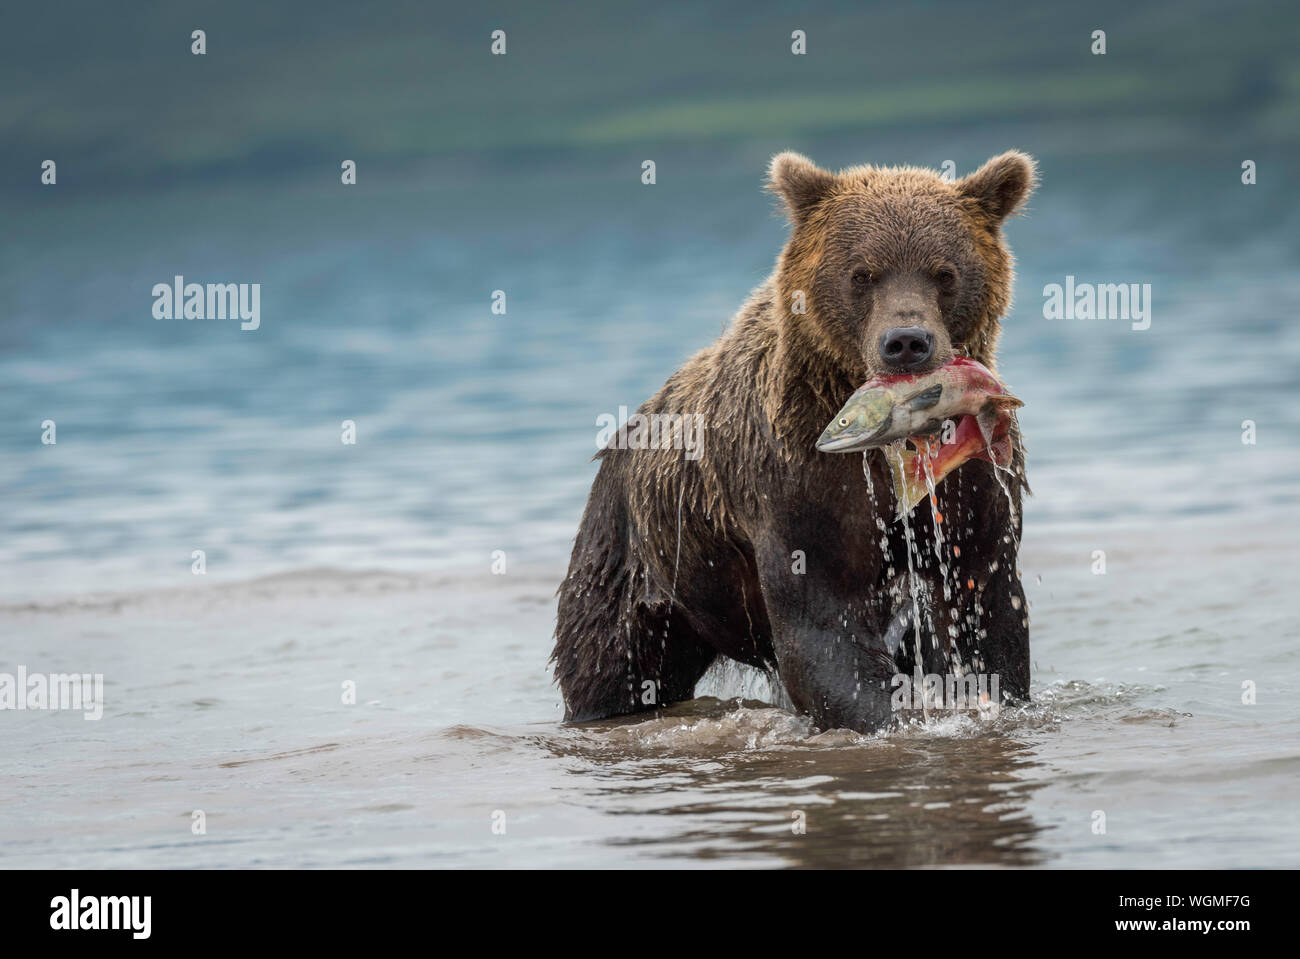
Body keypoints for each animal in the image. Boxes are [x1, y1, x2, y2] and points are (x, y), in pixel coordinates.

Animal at [551, 151, 1035, 733]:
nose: (906, 342)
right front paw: (890, 718)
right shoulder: (796, 483)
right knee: (611, 666)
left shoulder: (970, 480)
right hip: (633, 559)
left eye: (944, 272)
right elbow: (824, 629)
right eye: (862, 274)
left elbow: (981, 607)